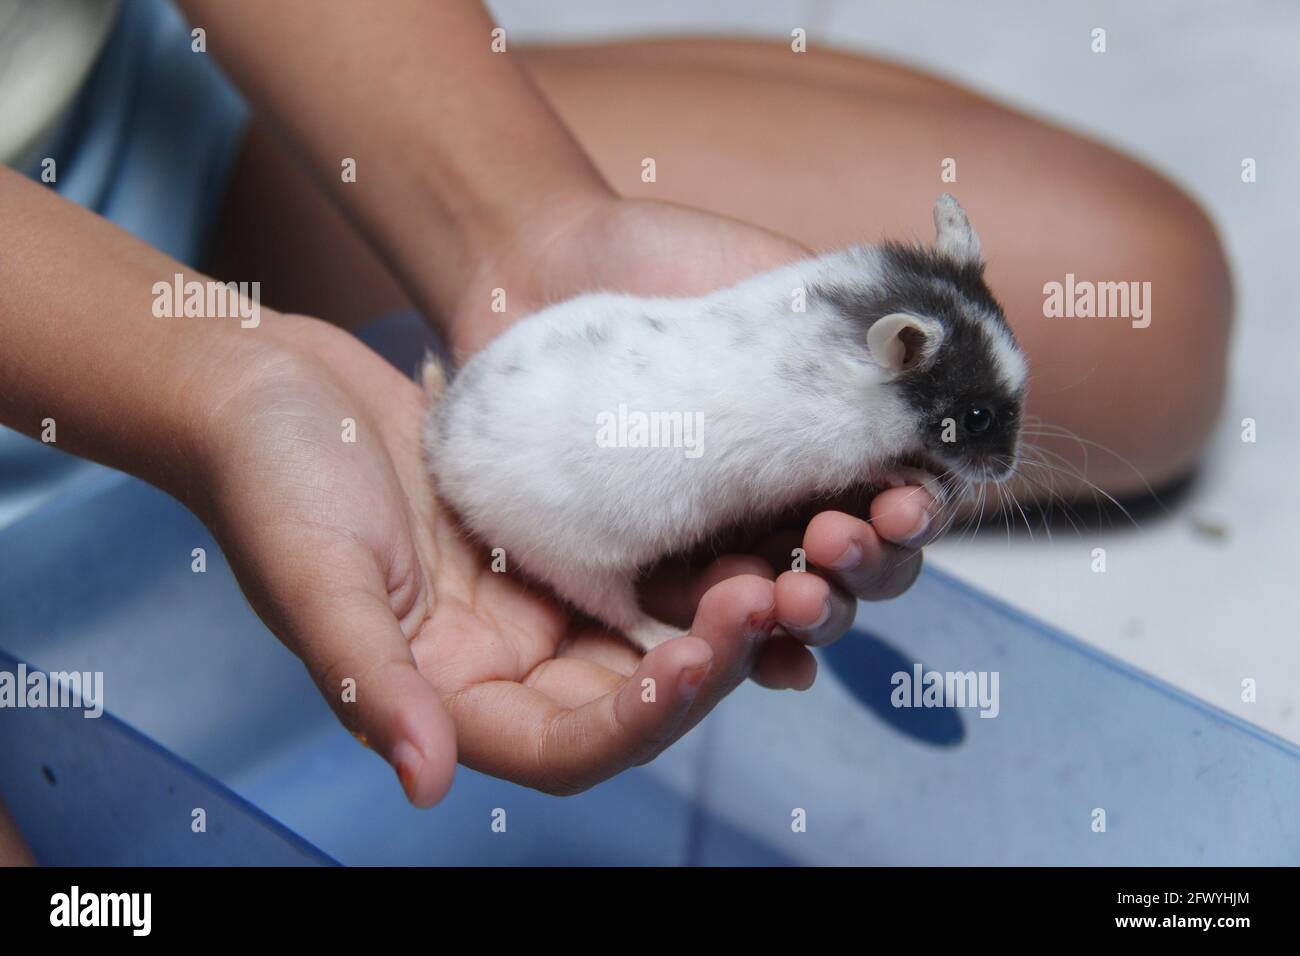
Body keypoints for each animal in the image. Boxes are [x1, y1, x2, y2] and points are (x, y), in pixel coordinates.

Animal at [422, 194, 1027, 651]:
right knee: (620, 615)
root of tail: (442, 434)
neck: (858, 369)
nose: (1006, 471)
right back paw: (672, 637)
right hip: (575, 563)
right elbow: (884, 470)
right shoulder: (831, 461)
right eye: (976, 417)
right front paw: (925, 481)